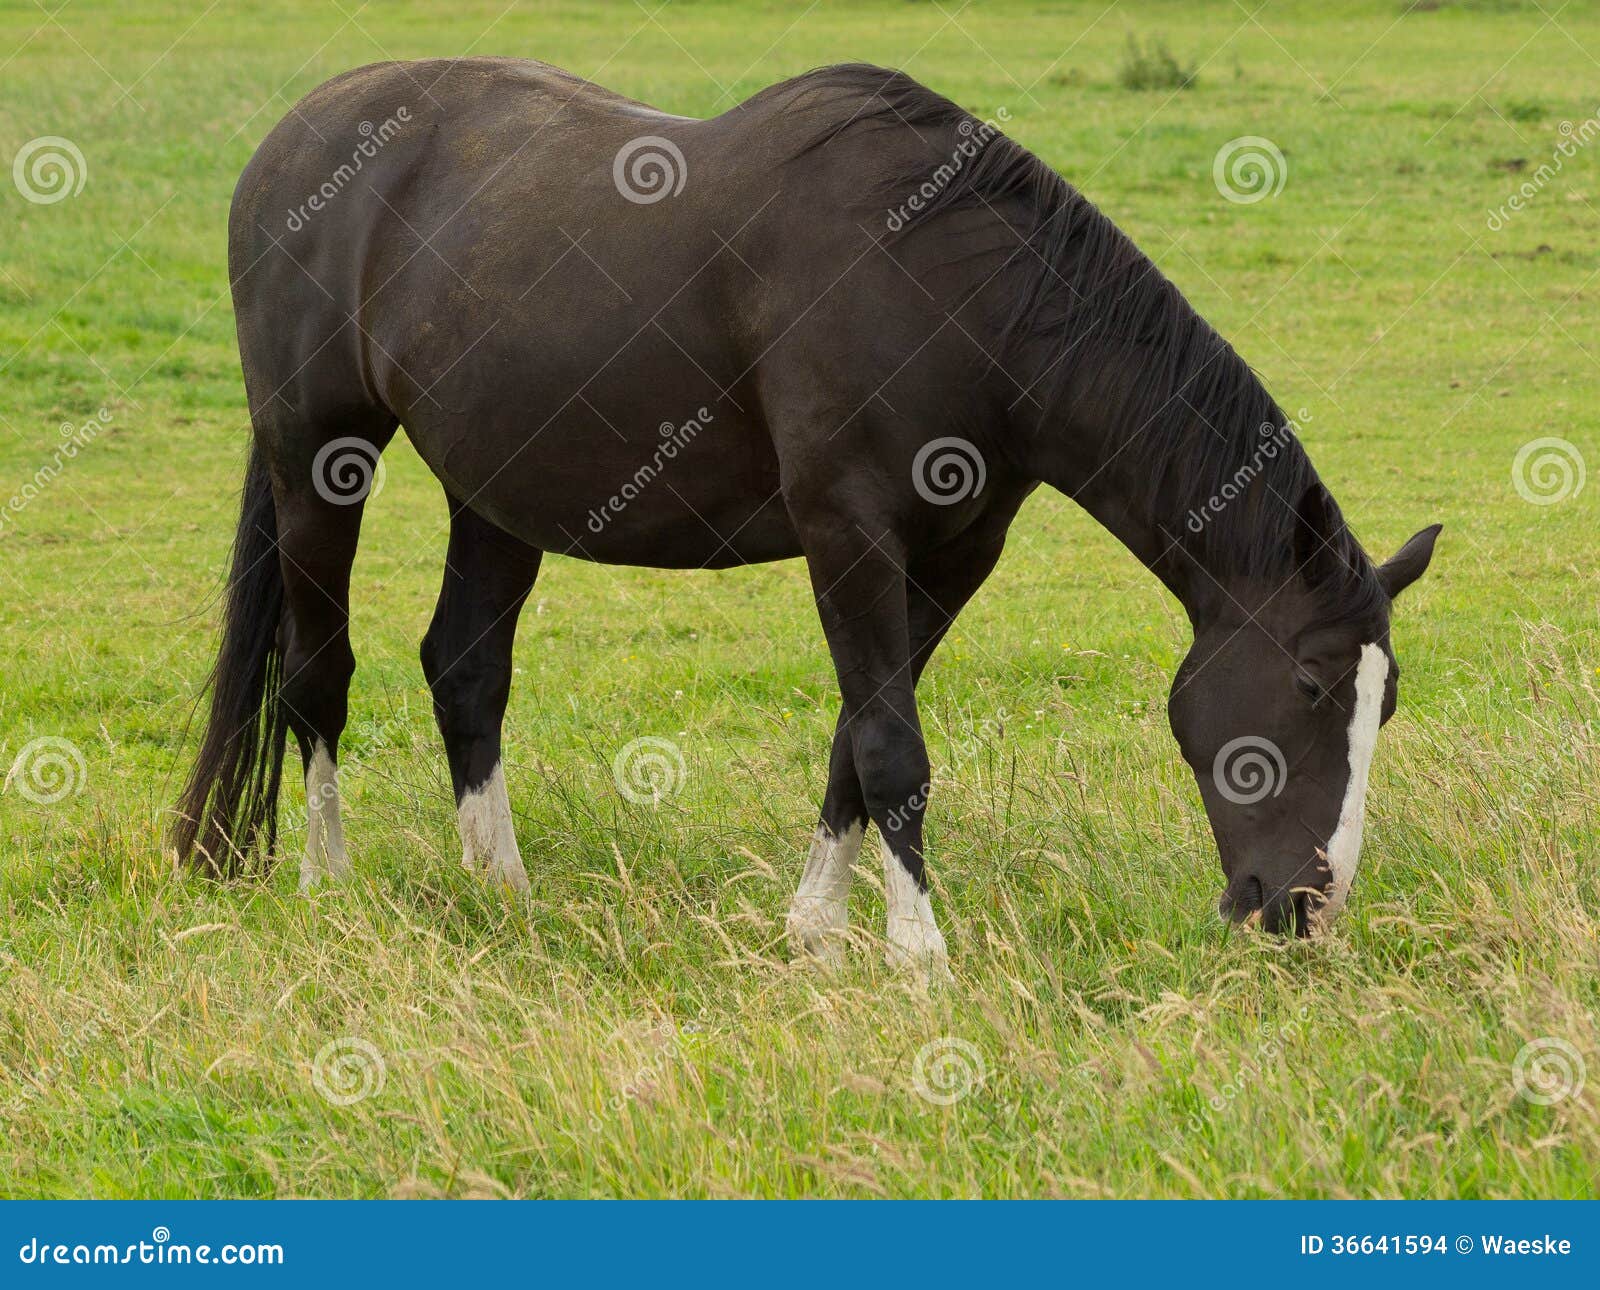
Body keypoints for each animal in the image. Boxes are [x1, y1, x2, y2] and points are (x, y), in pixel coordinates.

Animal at [174, 59, 1439, 970]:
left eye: (1383, 703)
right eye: (1312, 686)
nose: (1303, 911)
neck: (951, 292)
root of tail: (296, 137)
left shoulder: (954, 555)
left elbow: (851, 743)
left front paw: (814, 931)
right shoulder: (848, 532)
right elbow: (890, 748)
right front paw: (920, 955)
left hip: (493, 489)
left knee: (465, 670)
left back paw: (505, 893)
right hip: (317, 455)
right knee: (316, 673)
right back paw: (329, 888)